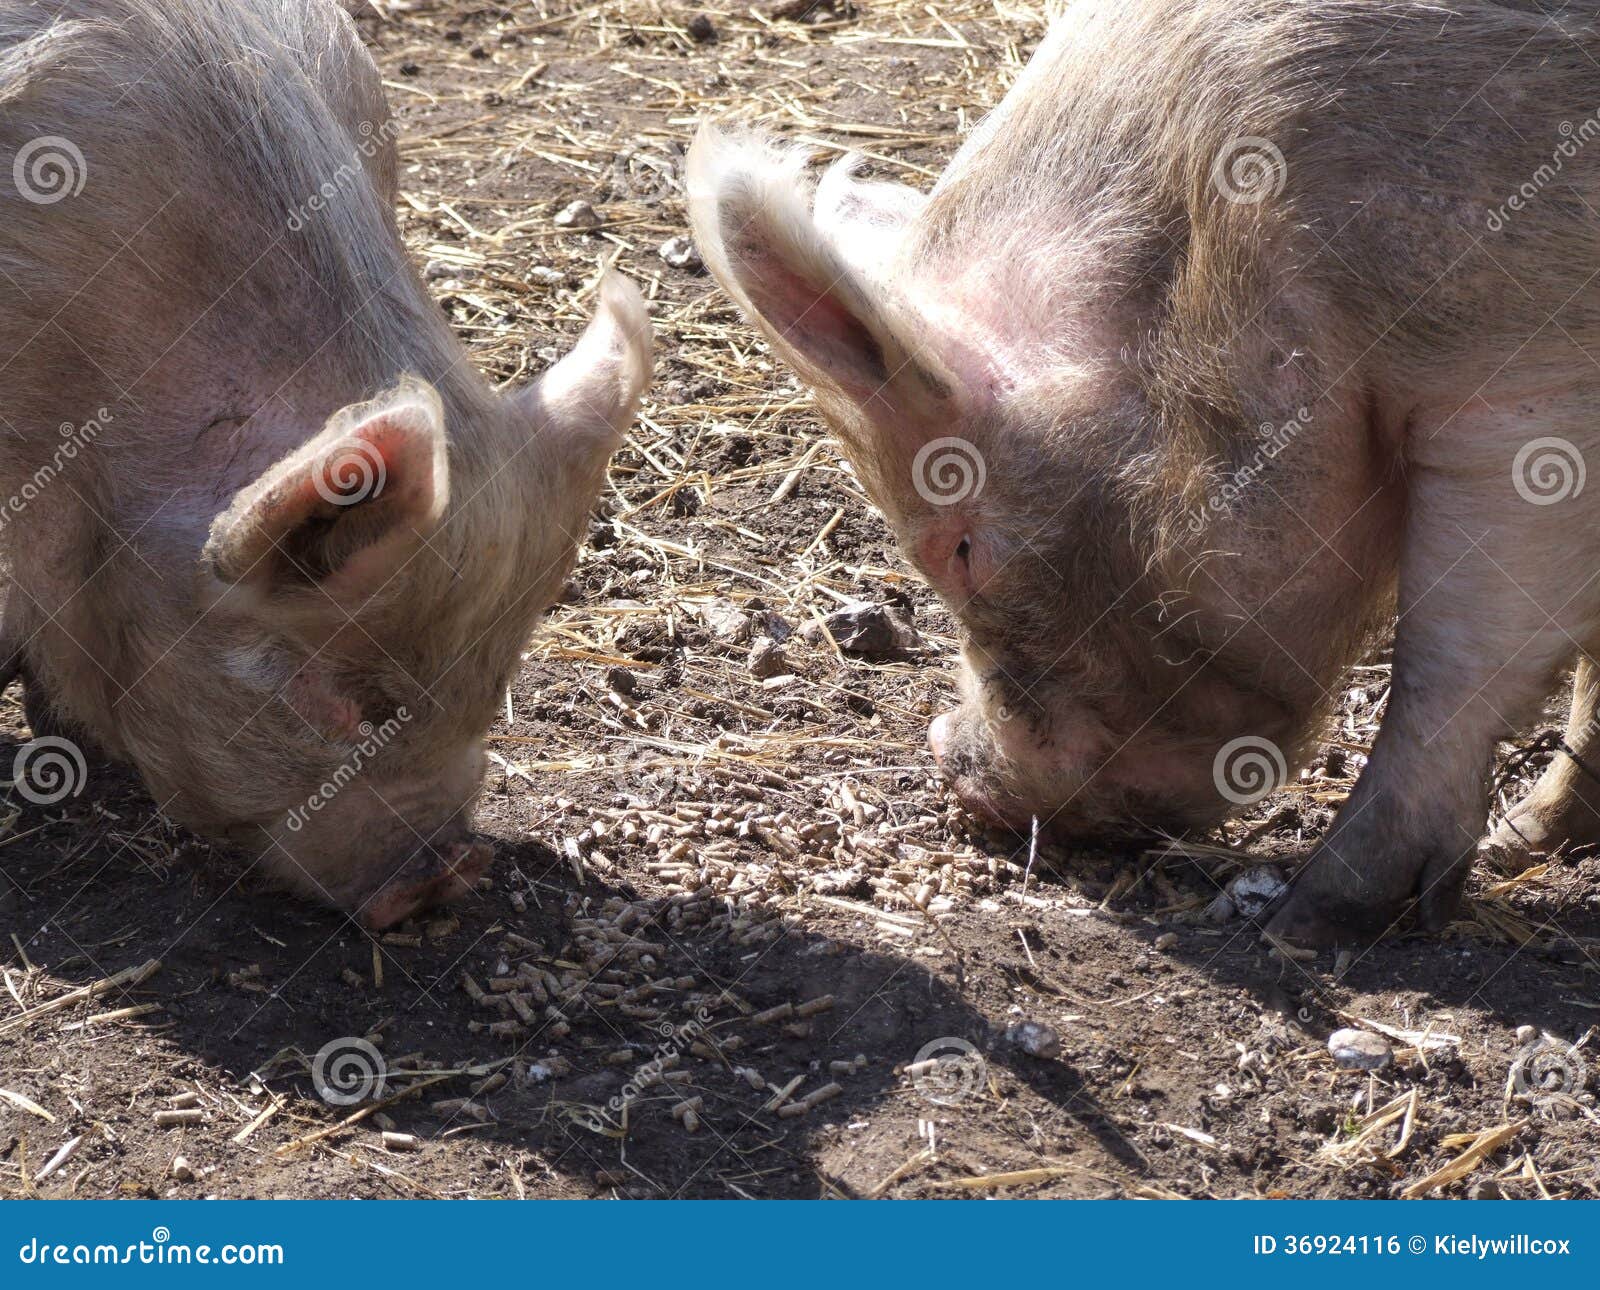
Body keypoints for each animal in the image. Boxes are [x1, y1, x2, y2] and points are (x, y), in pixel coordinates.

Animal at [688, 0, 1600, 947]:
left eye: (962, 550)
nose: (951, 762)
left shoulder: (1525, 379)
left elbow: (1454, 648)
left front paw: (1308, 919)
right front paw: (1528, 840)